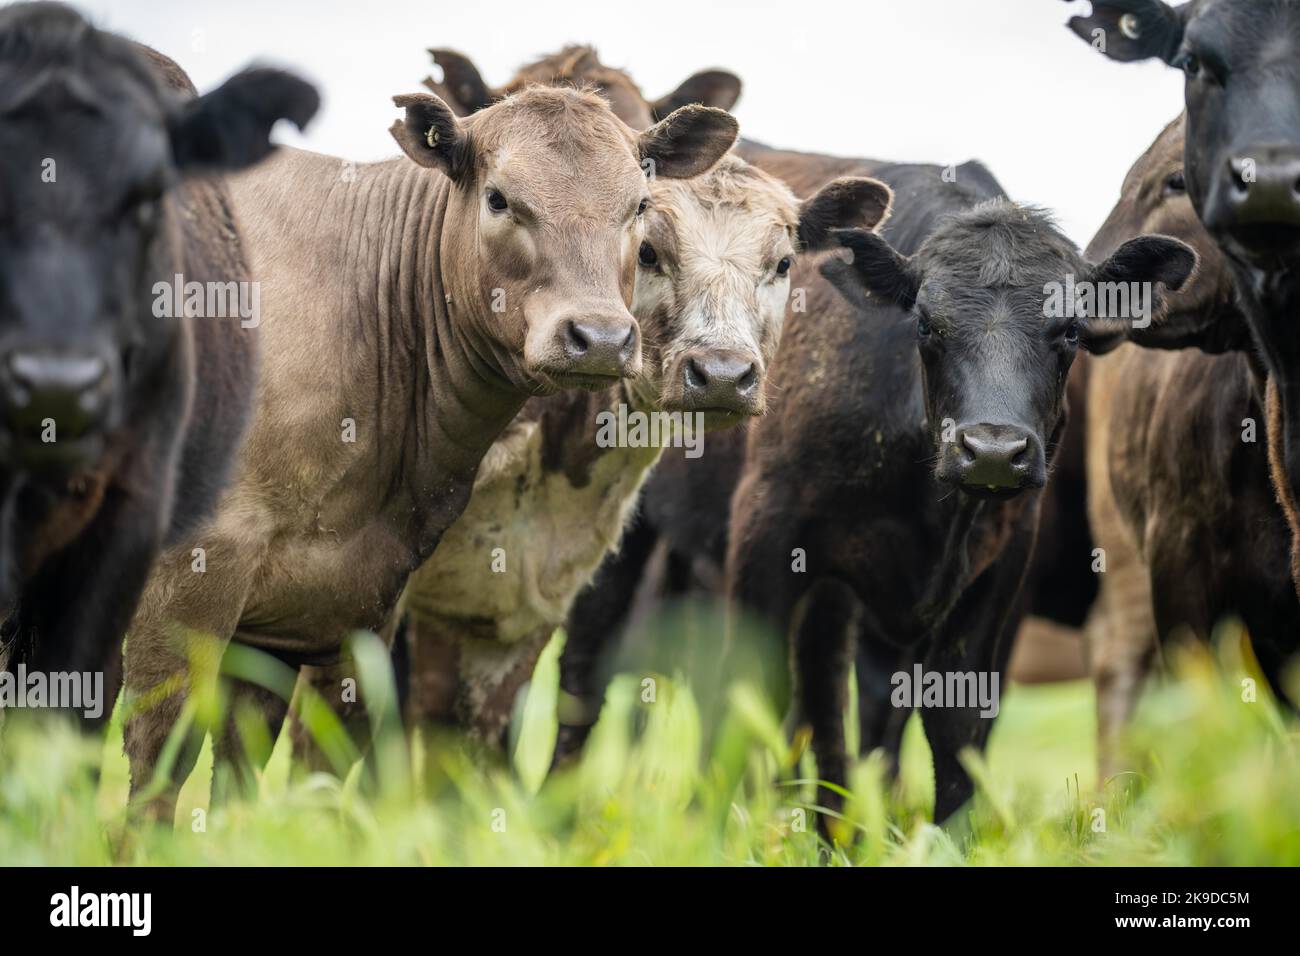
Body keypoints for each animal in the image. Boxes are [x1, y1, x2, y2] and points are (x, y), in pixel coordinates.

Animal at [118, 80, 739, 822]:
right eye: (499, 198)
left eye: (640, 206)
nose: (600, 338)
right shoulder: (192, 578)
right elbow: (161, 758)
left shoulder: (321, 609)